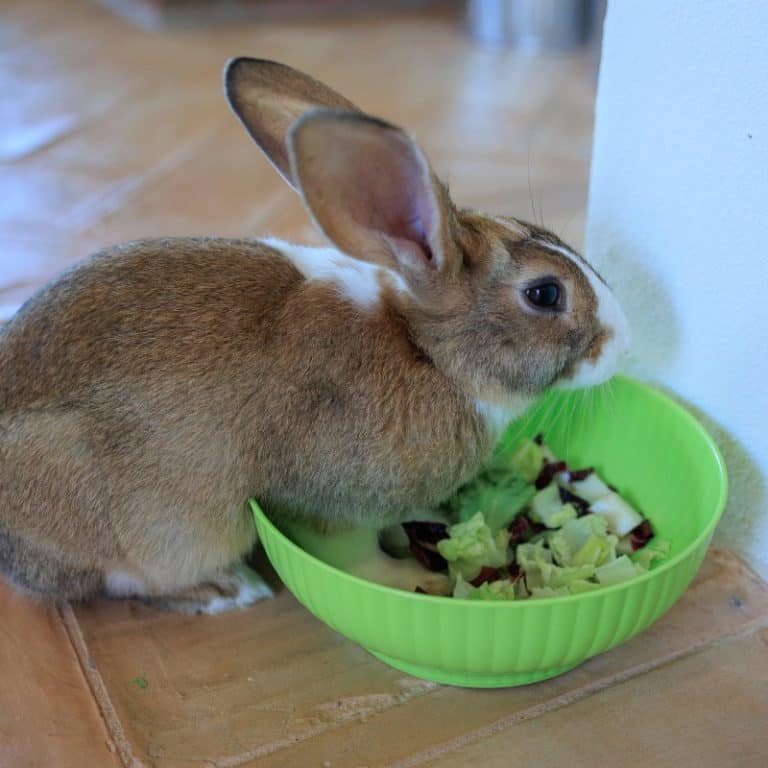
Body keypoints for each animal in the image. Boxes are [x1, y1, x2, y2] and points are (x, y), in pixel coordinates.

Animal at [0, 58, 630, 612]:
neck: (427, 352)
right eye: (545, 294)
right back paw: (229, 590)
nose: (625, 343)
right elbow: (356, 557)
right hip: (144, 524)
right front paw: (407, 577)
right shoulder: (333, 507)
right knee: (125, 583)